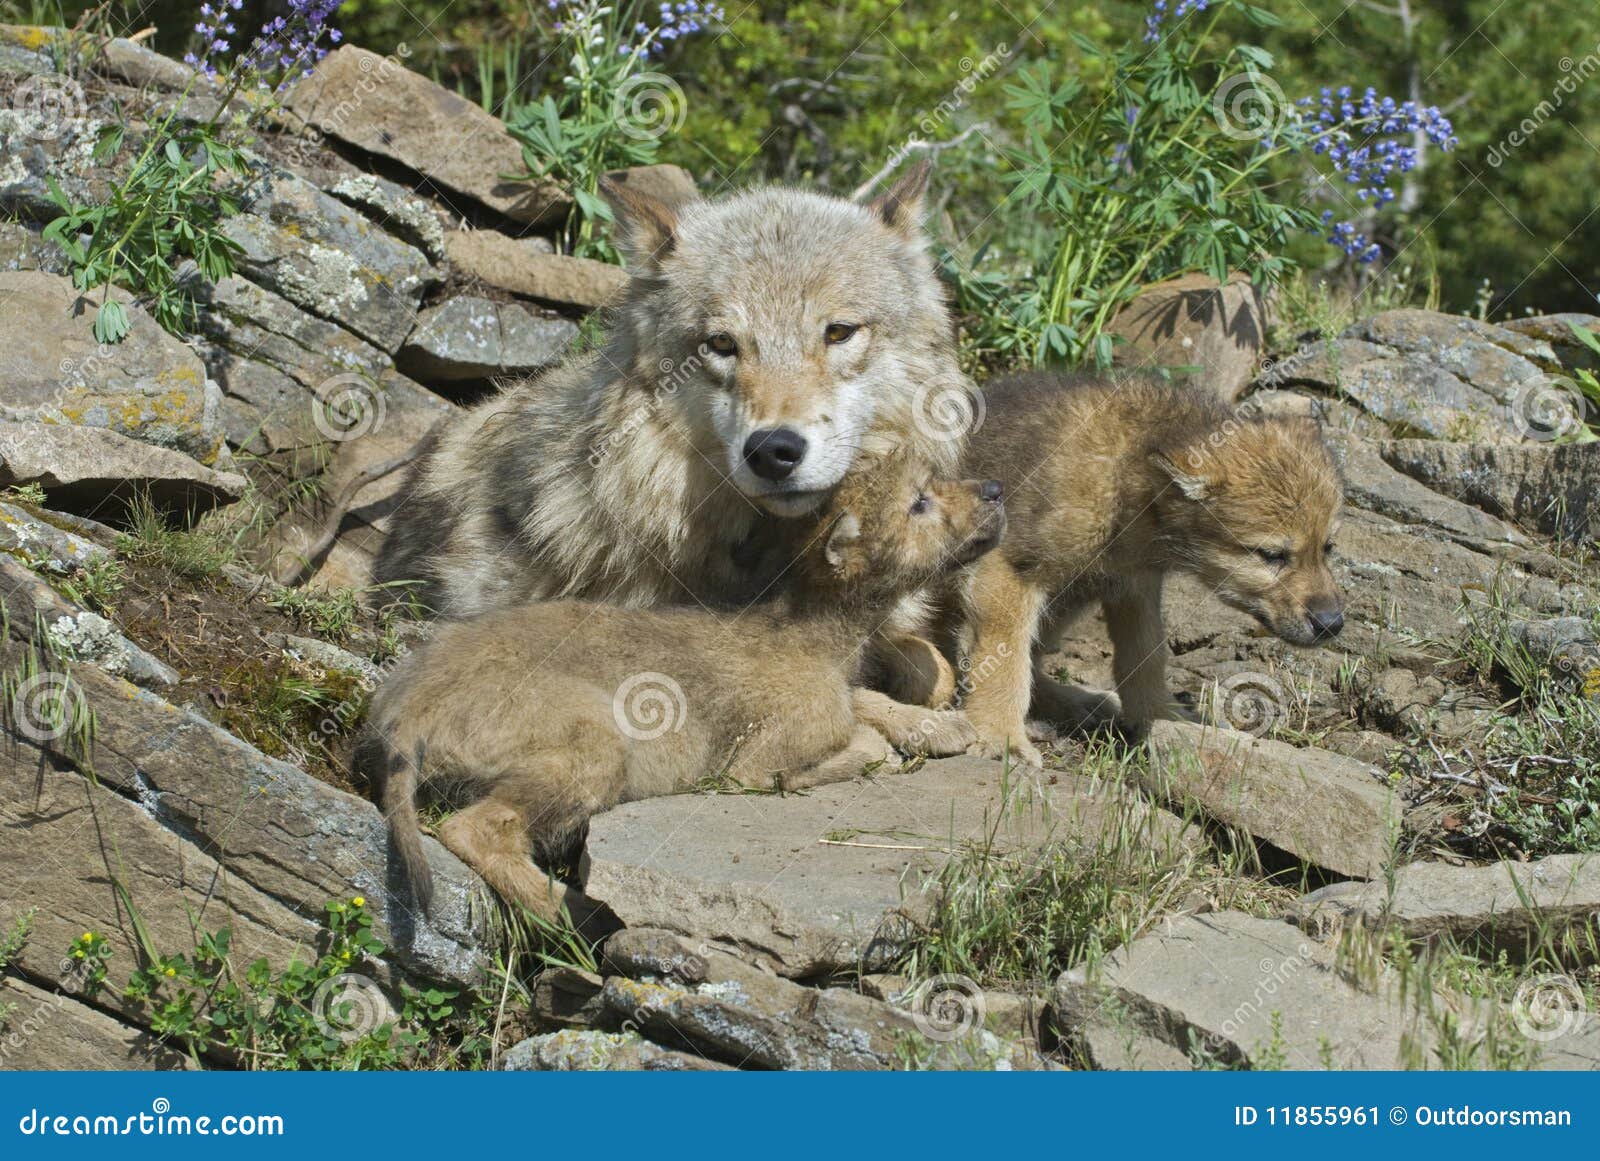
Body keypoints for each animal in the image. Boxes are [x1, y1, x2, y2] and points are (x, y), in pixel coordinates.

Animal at [359, 453, 1005, 920]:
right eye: (919, 503)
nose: (997, 491)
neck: (814, 629)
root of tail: (401, 711)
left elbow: (868, 700)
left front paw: (941, 726)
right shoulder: (751, 766)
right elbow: (854, 742)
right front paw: (895, 749)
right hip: (594, 741)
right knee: (472, 828)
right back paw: (575, 916)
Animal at [944, 372, 1345, 765]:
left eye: (1327, 547)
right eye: (1271, 555)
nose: (1332, 624)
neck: (1128, 481)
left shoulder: (1135, 585)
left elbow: (1146, 655)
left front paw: (1162, 718)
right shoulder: (1009, 570)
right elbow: (1005, 659)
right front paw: (1000, 736)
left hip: (1071, 596)